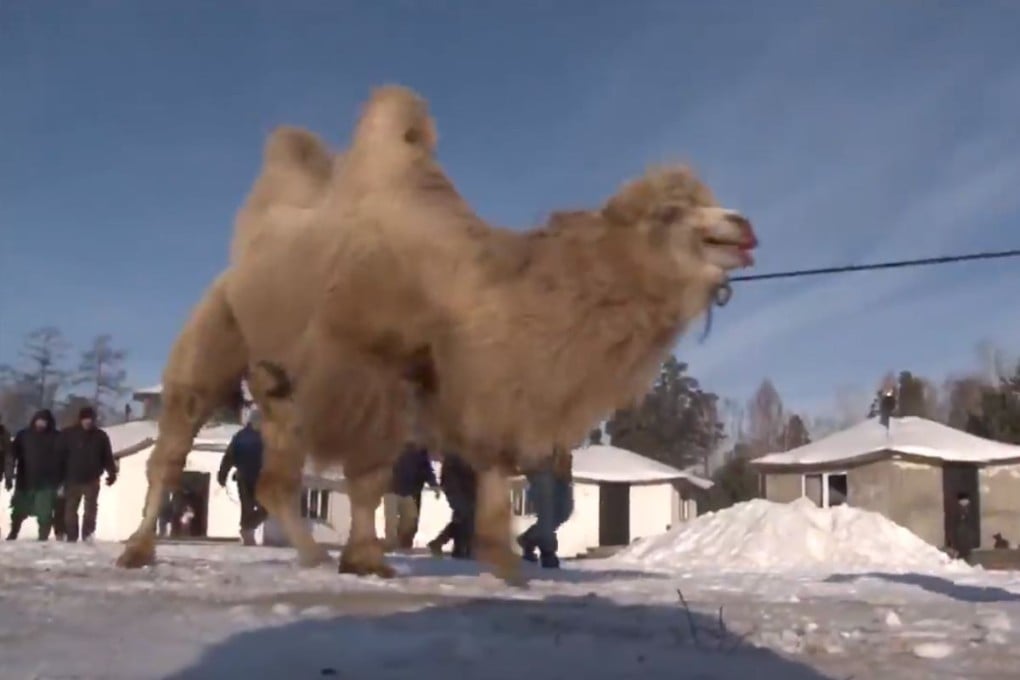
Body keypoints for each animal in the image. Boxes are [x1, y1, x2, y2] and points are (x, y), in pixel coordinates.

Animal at [115, 85, 757, 584]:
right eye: (670, 213)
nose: (742, 226)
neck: (463, 281)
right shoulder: (370, 364)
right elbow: (373, 472)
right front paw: (368, 559)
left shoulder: (462, 378)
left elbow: (489, 461)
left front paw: (506, 564)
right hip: (215, 336)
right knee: (173, 449)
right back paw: (138, 550)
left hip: (278, 384)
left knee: (275, 478)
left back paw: (311, 555)